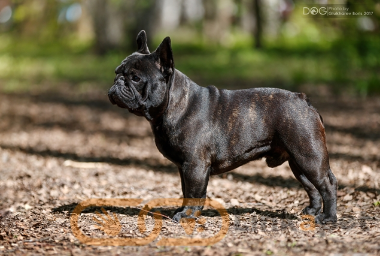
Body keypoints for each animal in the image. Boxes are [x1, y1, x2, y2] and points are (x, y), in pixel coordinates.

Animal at [108, 30, 336, 224]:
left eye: (136, 78)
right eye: (116, 72)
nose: (117, 83)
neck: (174, 104)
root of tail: (304, 100)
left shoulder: (195, 165)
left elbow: (194, 193)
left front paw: (187, 216)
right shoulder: (184, 167)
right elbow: (186, 191)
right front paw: (185, 211)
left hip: (309, 157)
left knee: (327, 184)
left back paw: (328, 218)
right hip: (298, 162)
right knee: (312, 186)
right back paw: (312, 211)